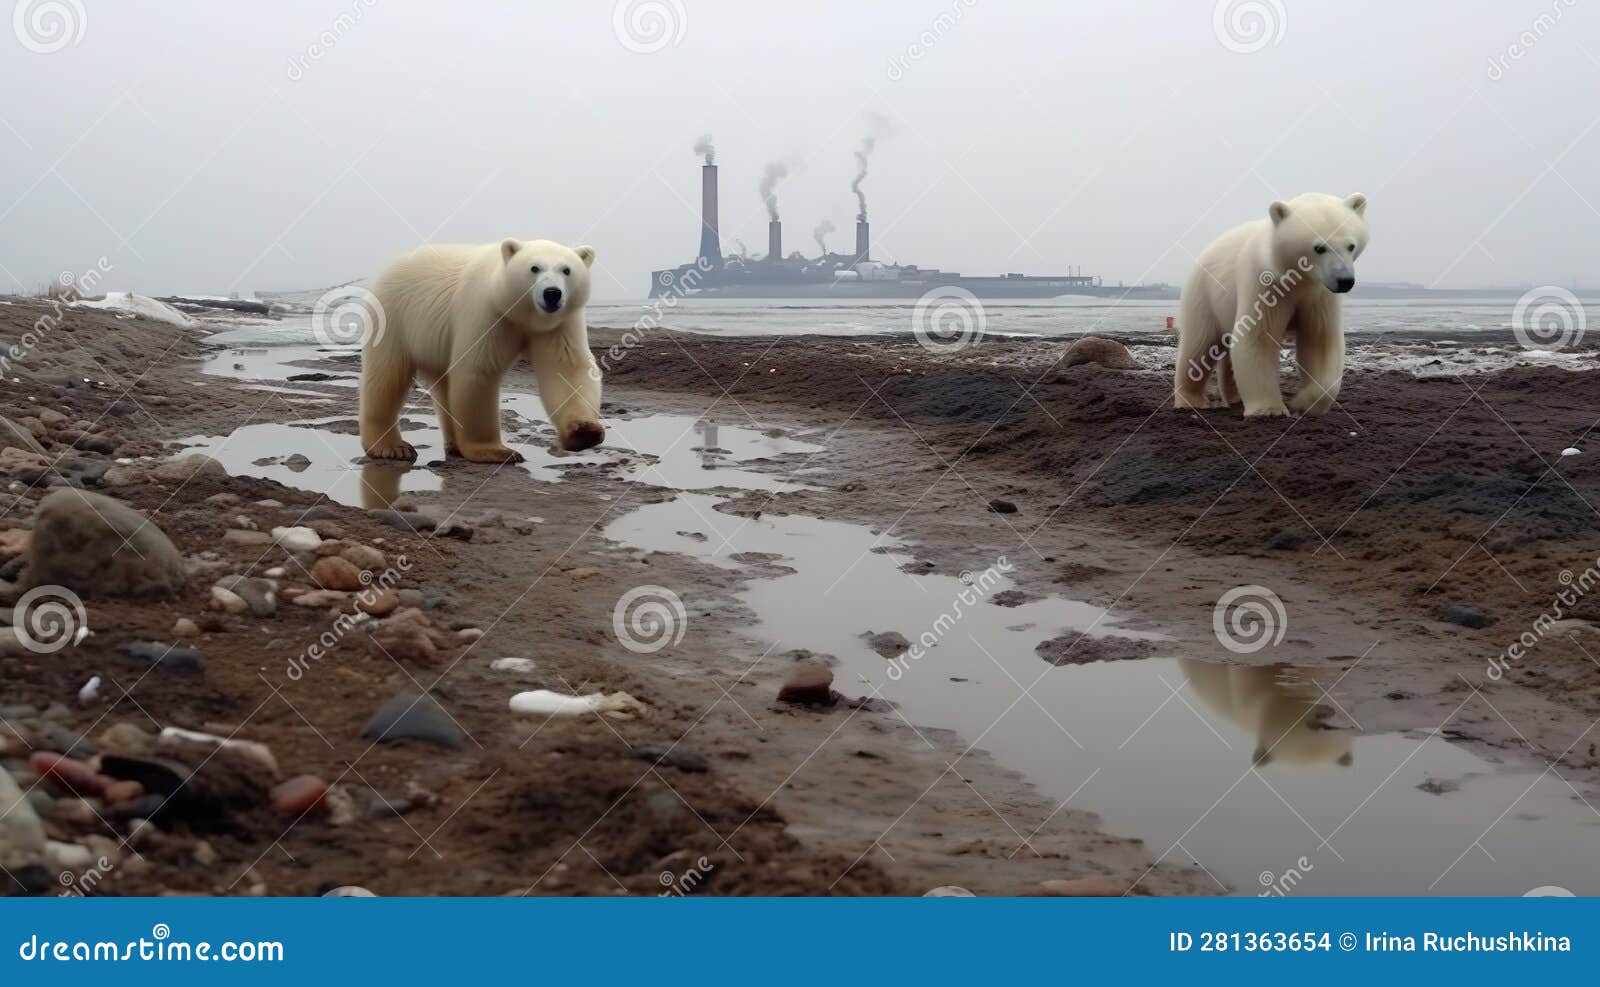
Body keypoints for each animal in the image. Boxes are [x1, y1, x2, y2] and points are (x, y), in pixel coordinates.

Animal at [359, 238, 605, 463]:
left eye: (567, 270)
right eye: (534, 268)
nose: (552, 293)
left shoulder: (559, 323)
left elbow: (567, 368)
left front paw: (585, 432)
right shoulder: (487, 312)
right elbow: (477, 372)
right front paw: (496, 451)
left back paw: (453, 445)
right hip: (394, 317)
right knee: (387, 377)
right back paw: (392, 447)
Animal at [1173, 193, 1369, 417]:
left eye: (1351, 245)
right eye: (1319, 247)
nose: (1345, 281)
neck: (1296, 278)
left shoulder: (1319, 294)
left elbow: (1321, 341)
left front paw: (1303, 403)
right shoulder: (1265, 284)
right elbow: (1258, 338)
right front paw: (1269, 410)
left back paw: (1234, 396)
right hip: (1204, 294)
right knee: (1198, 344)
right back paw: (1190, 400)